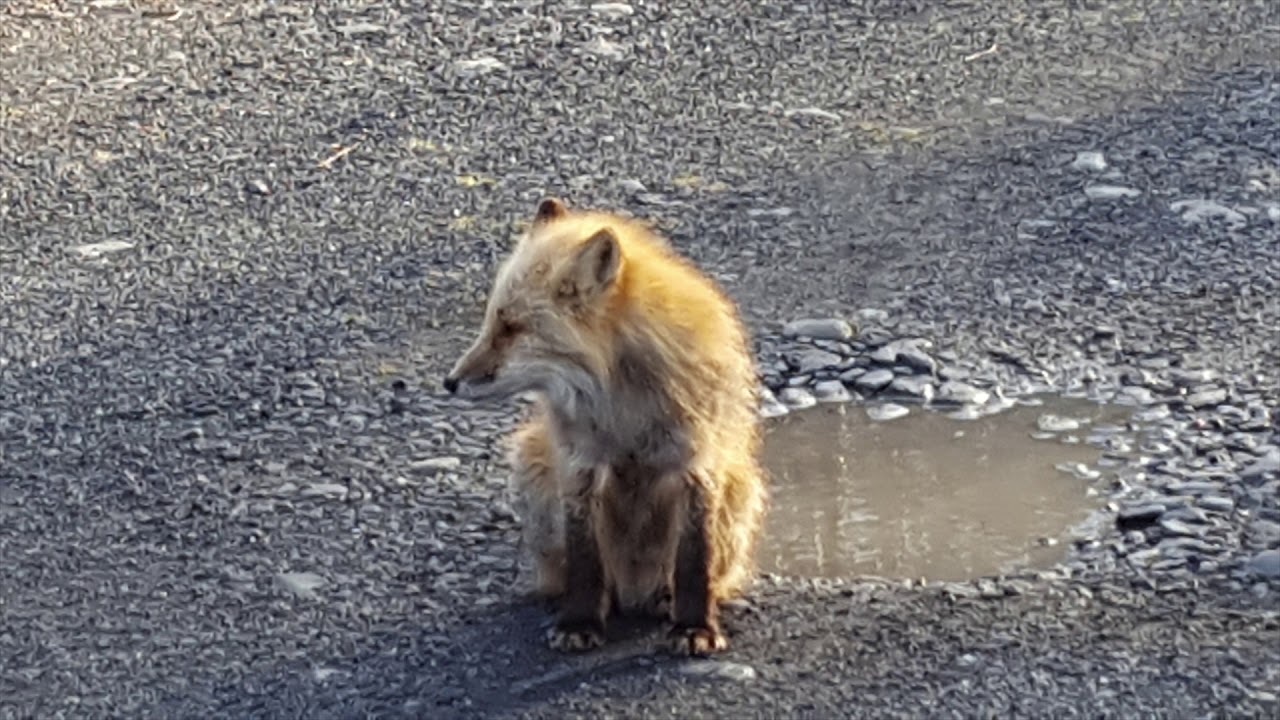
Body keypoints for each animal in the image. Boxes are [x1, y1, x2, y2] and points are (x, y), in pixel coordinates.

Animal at [443, 197, 768, 656]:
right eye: (492, 322)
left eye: (512, 328)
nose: (449, 382)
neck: (624, 401)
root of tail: (636, 590)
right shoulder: (580, 464)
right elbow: (585, 561)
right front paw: (579, 622)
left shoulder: (695, 463)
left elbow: (694, 561)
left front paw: (694, 626)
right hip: (534, 470)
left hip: (740, 488)